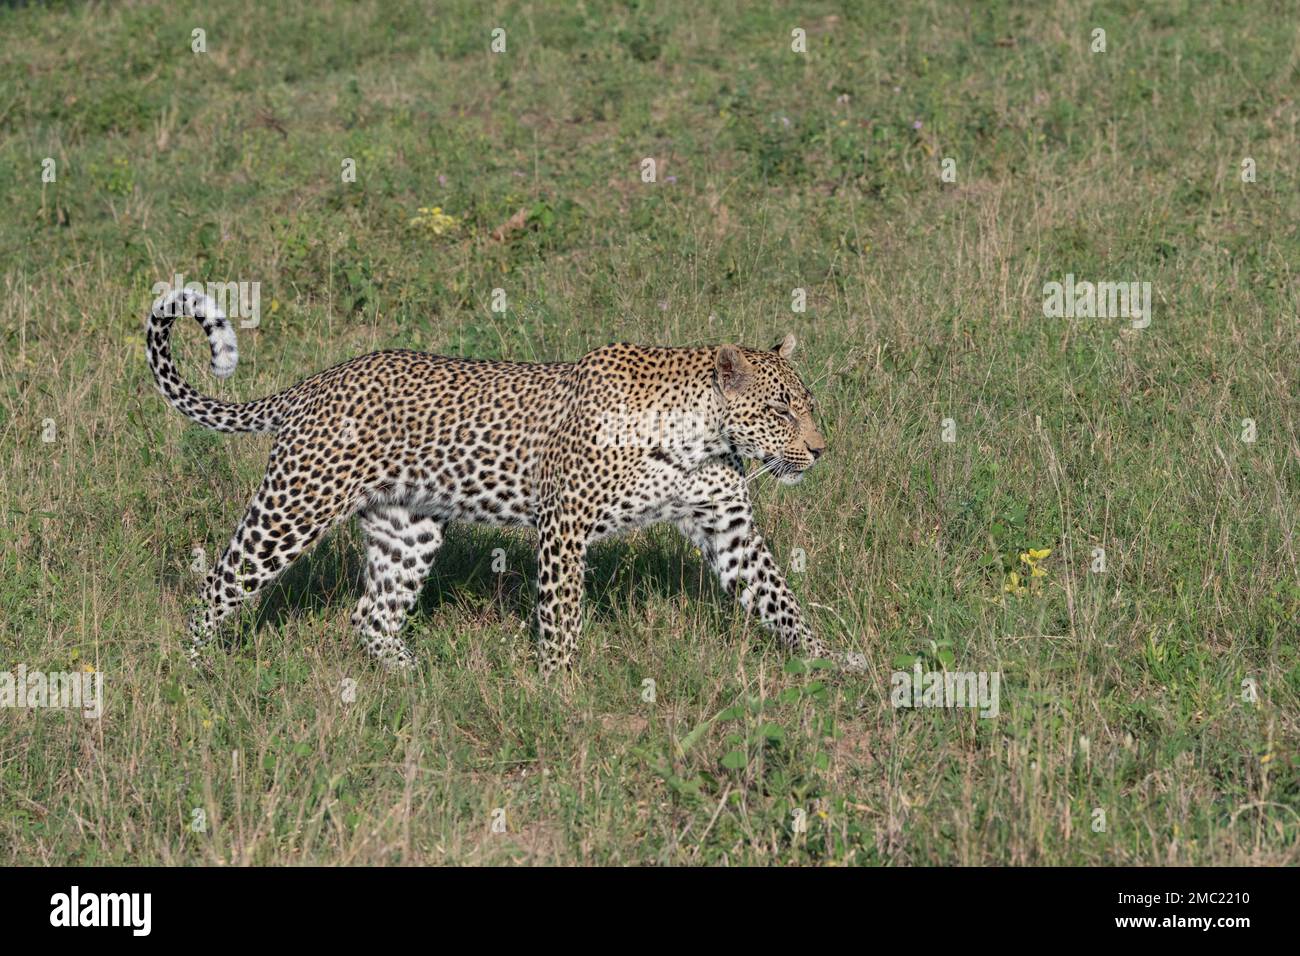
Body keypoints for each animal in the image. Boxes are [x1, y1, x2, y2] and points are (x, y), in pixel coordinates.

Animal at [146, 287, 840, 676]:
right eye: (780, 411)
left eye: (807, 405)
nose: (819, 449)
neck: (697, 438)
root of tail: (314, 383)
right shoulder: (565, 525)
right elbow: (562, 615)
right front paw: (559, 686)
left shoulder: (729, 529)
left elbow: (779, 599)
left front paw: (831, 661)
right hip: (292, 507)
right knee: (218, 583)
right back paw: (191, 667)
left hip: (408, 529)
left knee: (372, 615)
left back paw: (418, 680)